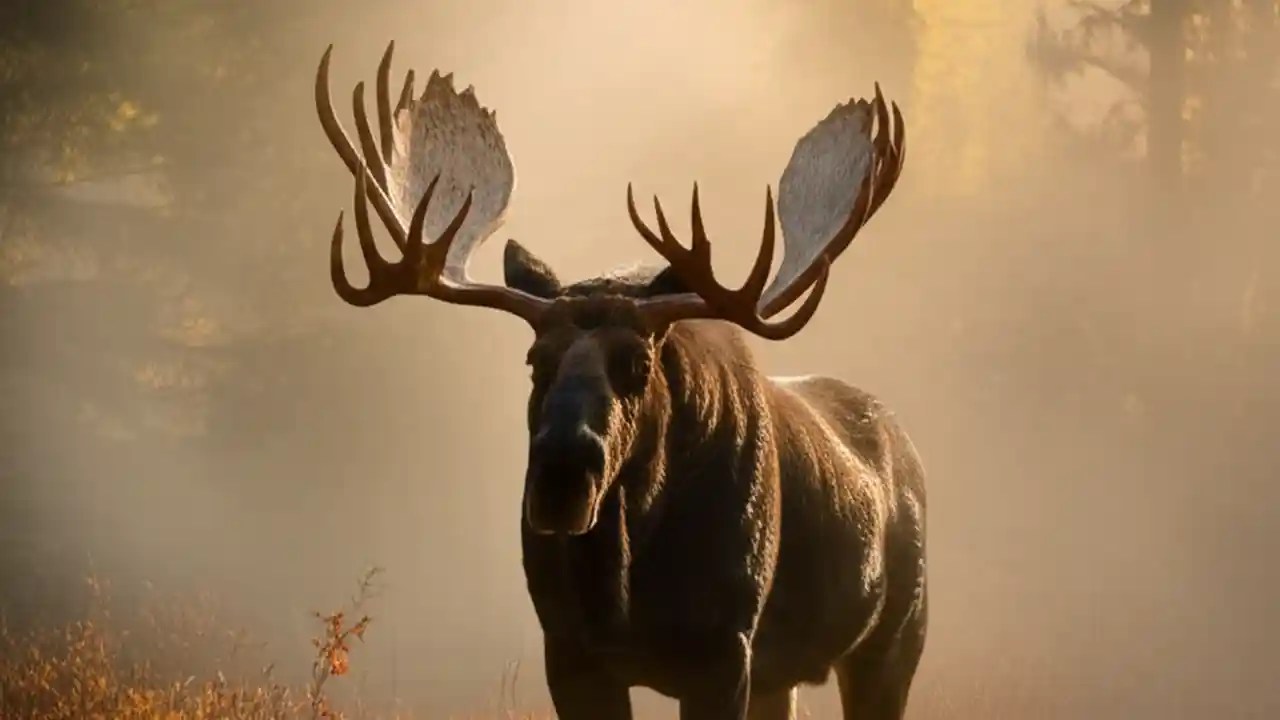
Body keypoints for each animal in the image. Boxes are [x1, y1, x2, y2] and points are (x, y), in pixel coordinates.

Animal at [315, 41, 927, 720]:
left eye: (639, 364)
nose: (561, 474)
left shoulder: (723, 648)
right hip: (786, 674)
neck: (626, 581)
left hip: (895, 638)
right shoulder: (569, 650)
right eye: (535, 359)